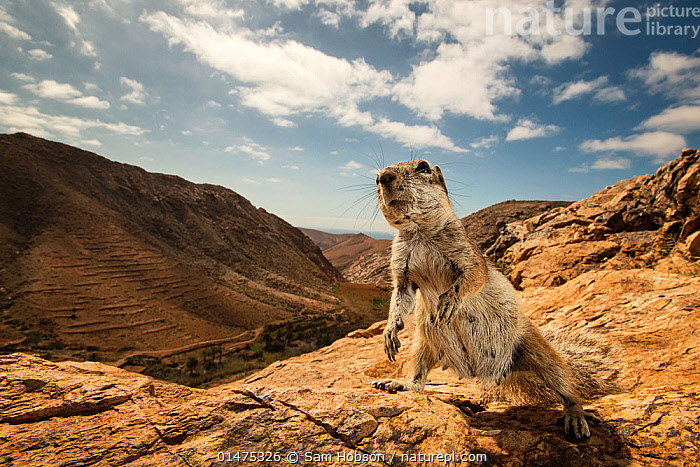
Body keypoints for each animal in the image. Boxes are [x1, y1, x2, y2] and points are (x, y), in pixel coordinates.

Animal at [371, 159, 617, 439]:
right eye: (376, 177)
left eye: (423, 166)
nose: (384, 177)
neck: (418, 232)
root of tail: (497, 373)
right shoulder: (401, 266)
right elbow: (401, 297)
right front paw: (390, 330)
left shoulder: (468, 255)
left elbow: (473, 277)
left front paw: (448, 301)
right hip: (423, 345)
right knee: (418, 380)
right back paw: (397, 383)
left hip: (539, 351)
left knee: (567, 387)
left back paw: (576, 417)